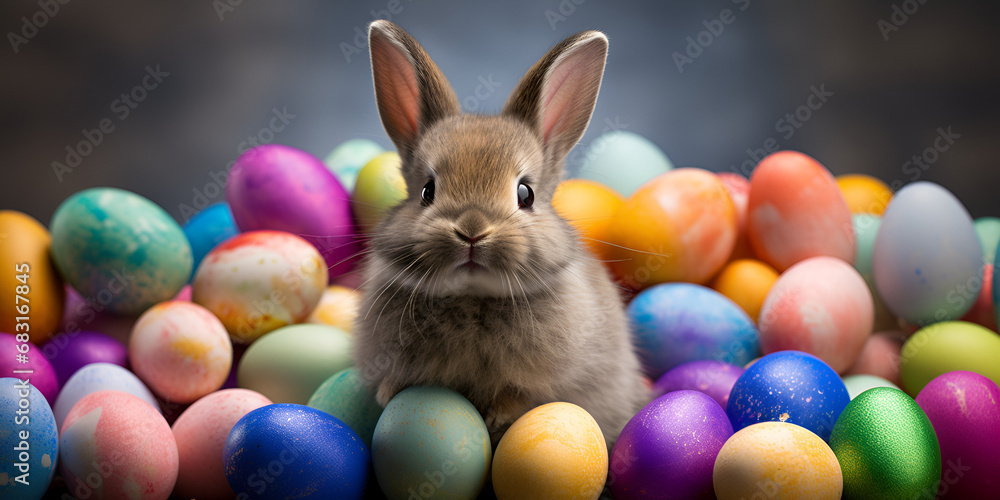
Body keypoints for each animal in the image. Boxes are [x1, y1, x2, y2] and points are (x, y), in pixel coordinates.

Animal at [353, 19, 649, 446]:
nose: (472, 231)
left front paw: (498, 417)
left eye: (525, 194)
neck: (473, 297)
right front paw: (388, 395)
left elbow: (523, 395)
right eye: (427, 191)